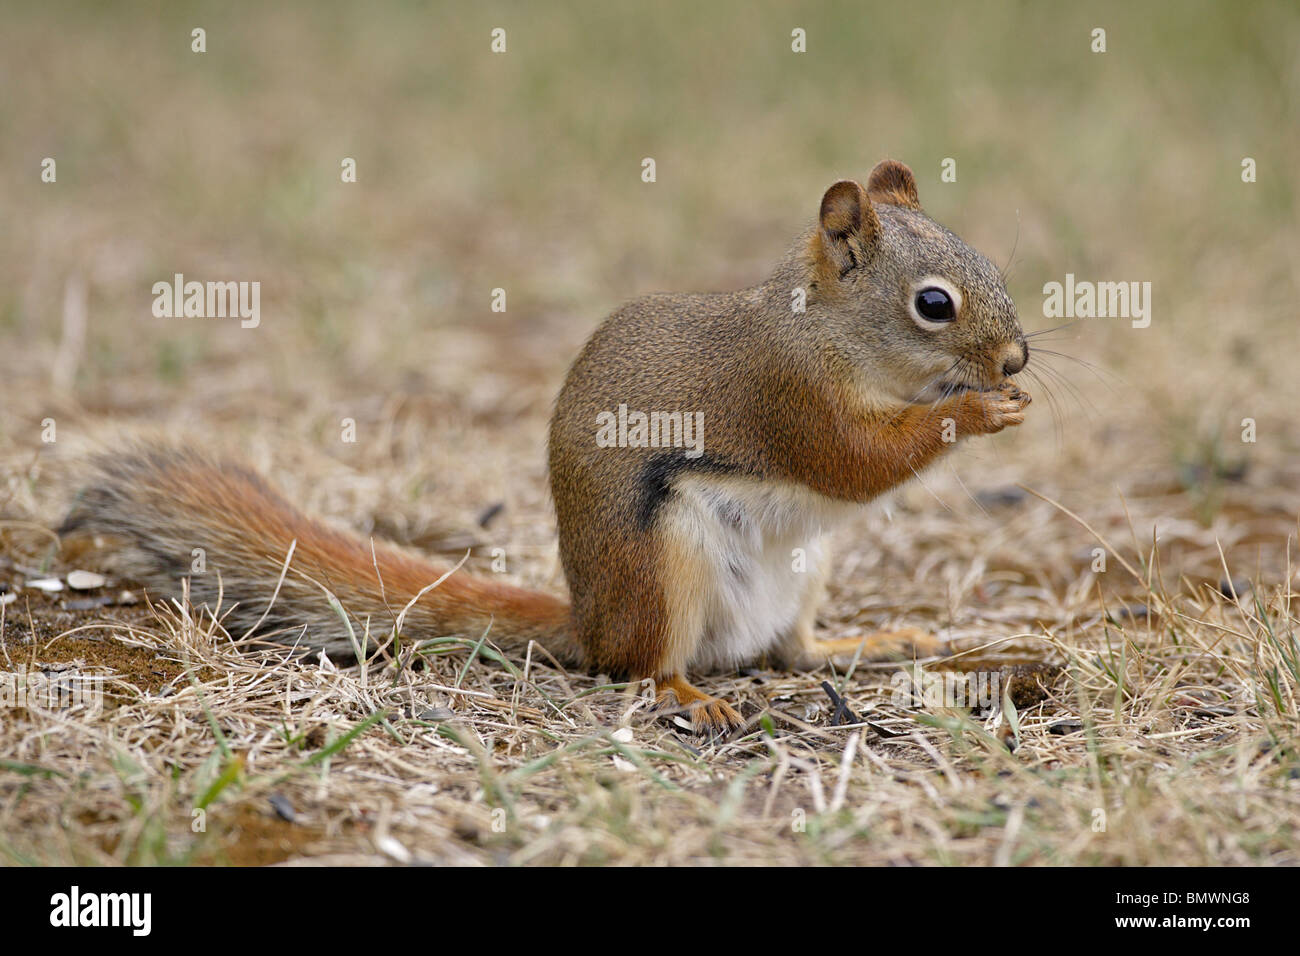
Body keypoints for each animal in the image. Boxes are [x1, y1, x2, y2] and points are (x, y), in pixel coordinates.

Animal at [60, 159, 1030, 738]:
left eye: (991, 266)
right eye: (933, 304)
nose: (1018, 359)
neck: (828, 332)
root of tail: (588, 619)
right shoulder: (785, 397)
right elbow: (856, 462)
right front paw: (980, 410)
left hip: (804, 571)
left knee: (792, 652)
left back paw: (873, 643)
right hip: (663, 564)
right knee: (641, 666)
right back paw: (688, 696)